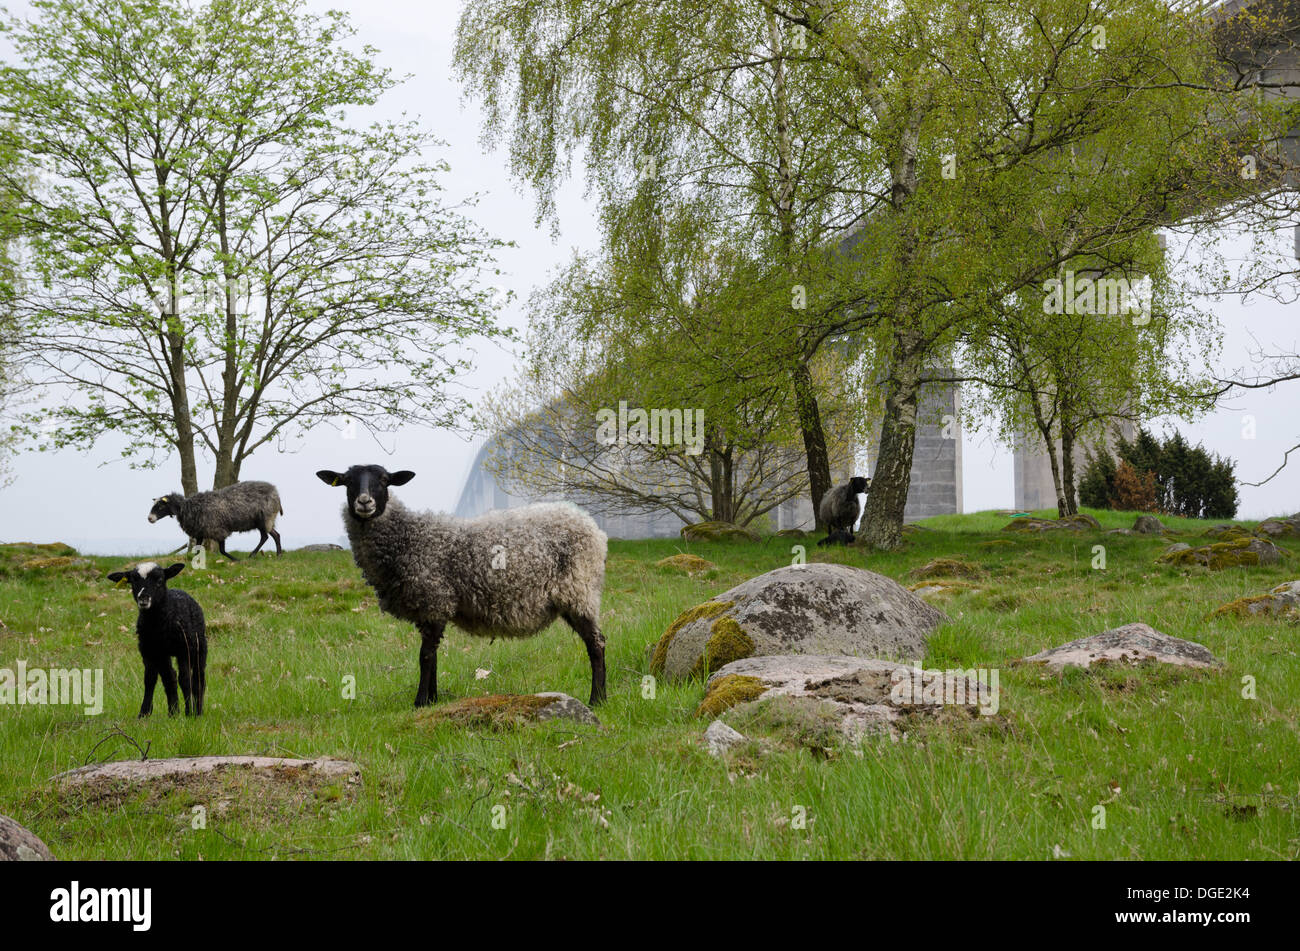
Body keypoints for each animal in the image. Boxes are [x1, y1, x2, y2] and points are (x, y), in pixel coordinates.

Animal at [106, 562, 207, 717]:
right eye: (133, 581)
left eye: (159, 581)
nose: (143, 598)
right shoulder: (150, 651)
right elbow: (151, 679)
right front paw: (145, 713)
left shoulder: (184, 649)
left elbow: (185, 680)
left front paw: (189, 712)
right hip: (162, 653)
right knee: (170, 676)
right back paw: (174, 712)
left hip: (199, 646)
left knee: (198, 678)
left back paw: (198, 711)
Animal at [148, 480, 283, 561]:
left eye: (160, 506)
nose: (149, 518)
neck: (188, 507)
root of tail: (276, 494)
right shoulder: (200, 532)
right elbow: (197, 549)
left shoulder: (218, 530)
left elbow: (222, 551)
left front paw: (236, 560)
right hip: (265, 521)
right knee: (275, 535)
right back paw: (278, 555)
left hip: (264, 518)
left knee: (265, 537)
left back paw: (252, 555)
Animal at [316, 464, 608, 707]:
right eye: (347, 482)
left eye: (384, 480)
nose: (364, 502)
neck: (408, 539)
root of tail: (591, 526)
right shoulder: (430, 609)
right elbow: (433, 656)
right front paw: (432, 700)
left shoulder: (434, 599)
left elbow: (425, 656)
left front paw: (420, 702)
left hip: (578, 589)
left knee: (597, 644)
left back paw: (597, 700)